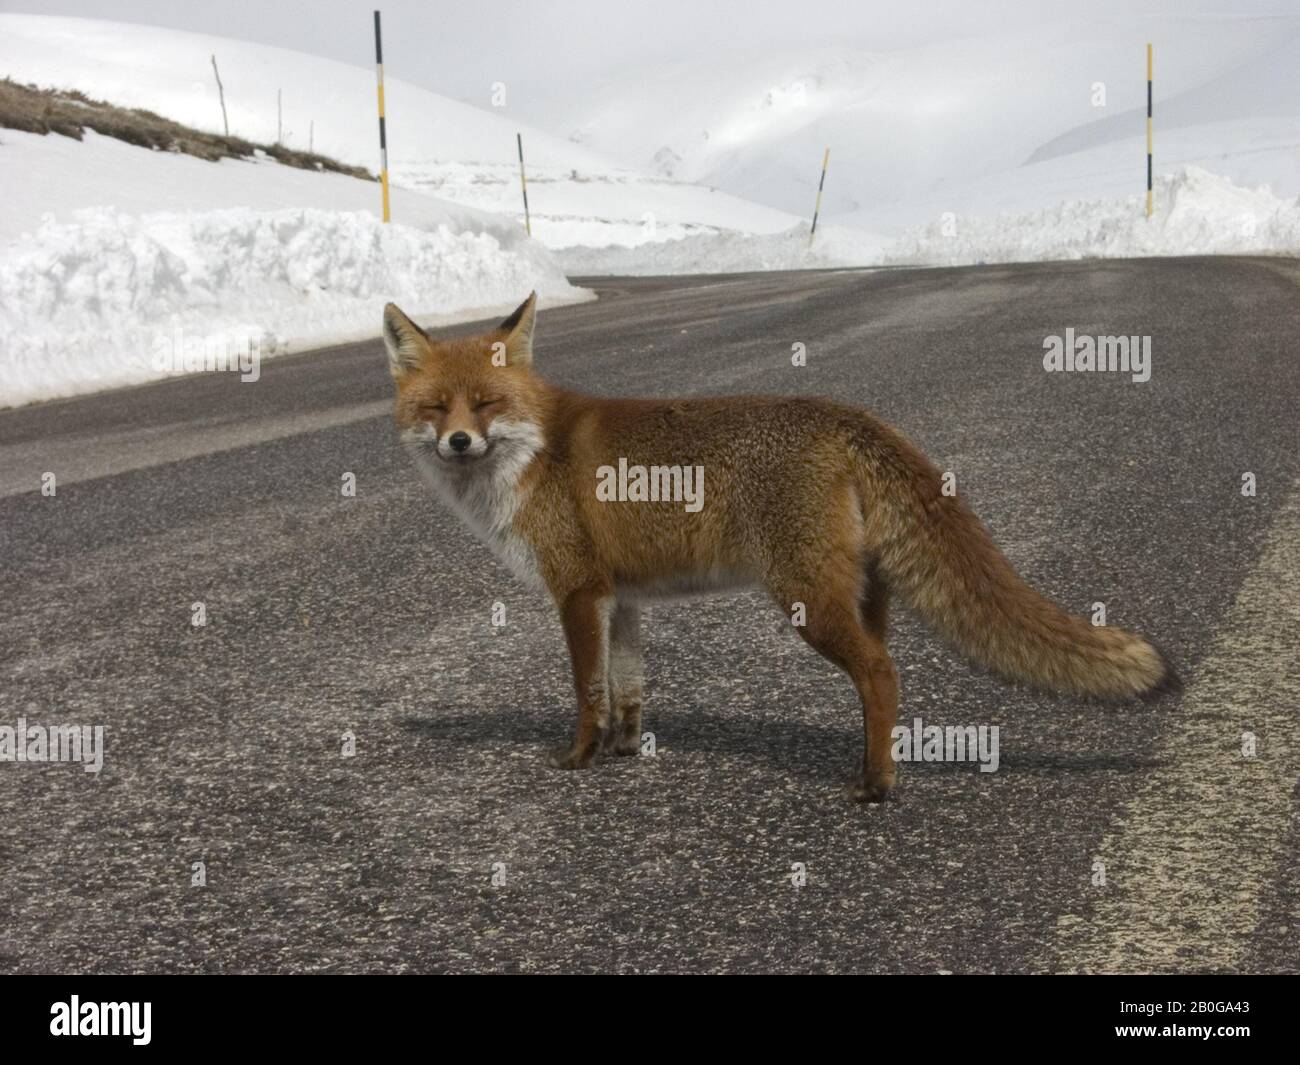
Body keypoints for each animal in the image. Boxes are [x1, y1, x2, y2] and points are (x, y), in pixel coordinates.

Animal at [383, 292, 1179, 802]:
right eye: (436, 408)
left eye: (487, 402)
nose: (460, 442)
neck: (533, 455)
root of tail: (846, 412)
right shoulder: (623, 598)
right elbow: (628, 688)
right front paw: (624, 751)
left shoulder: (578, 590)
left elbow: (587, 691)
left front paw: (579, 756)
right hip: (857, 597)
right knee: (877, 679)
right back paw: (871, 765)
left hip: (806, 601)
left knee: (880, 672)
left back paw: (877, 787)